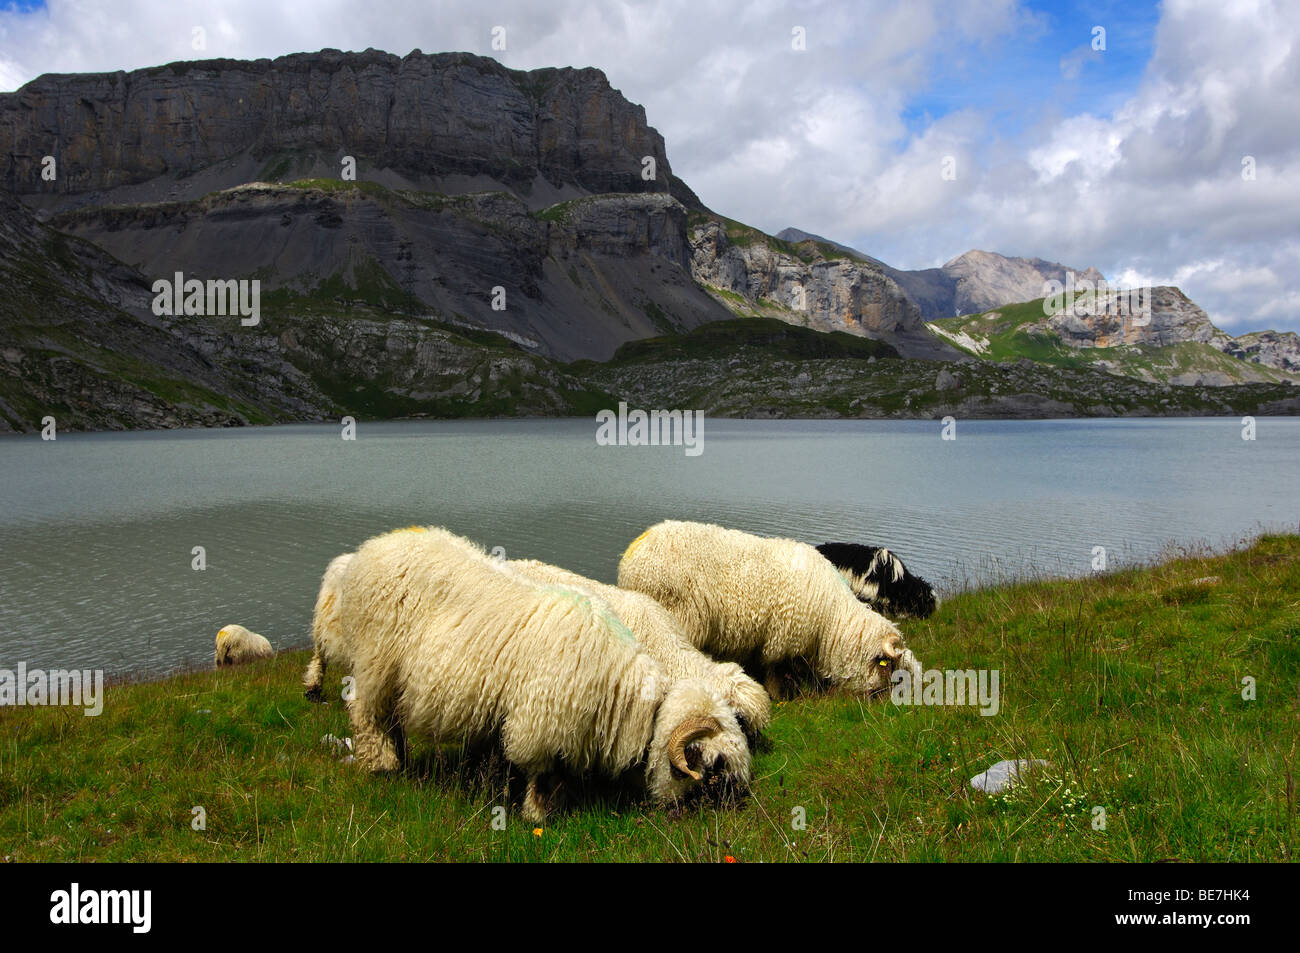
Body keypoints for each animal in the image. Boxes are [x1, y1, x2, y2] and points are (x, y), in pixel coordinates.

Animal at [617, 521, 923, 700]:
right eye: (890, 668)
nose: (884, 702)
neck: (832, 618)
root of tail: (634, 550)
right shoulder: (784, 638)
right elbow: (776, 671)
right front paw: (779, 697)